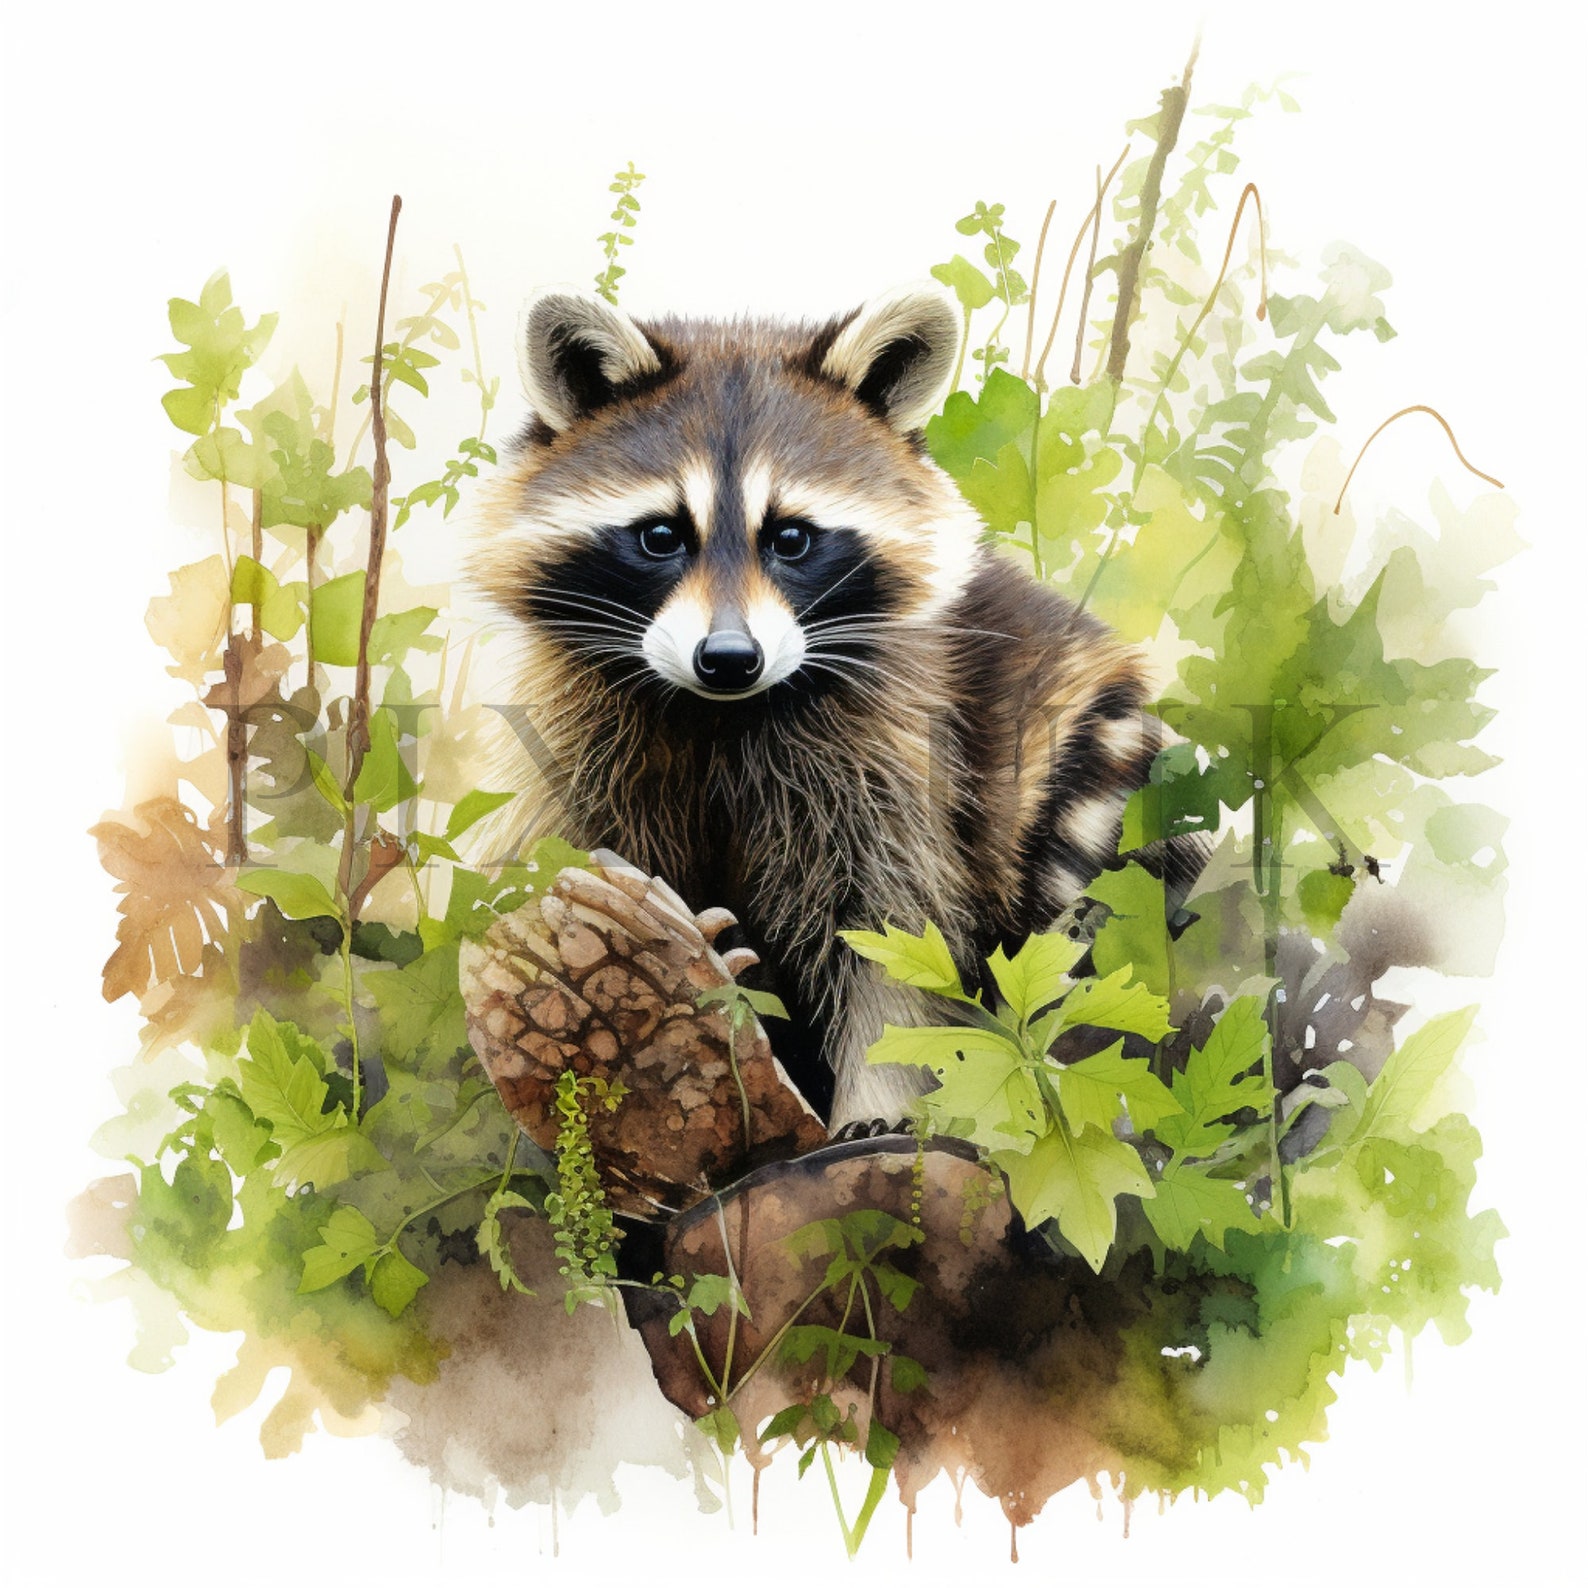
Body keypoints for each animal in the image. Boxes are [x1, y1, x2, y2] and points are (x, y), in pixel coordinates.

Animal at [470, 284, 1196, 1135]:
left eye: (791, 538)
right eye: (659, 536)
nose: (729, 658)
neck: (723, 714)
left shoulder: (900, 751)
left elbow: (892, 930)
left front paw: (875, 1095)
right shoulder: (572, 740)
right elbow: (566, 855)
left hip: (1094, 762)